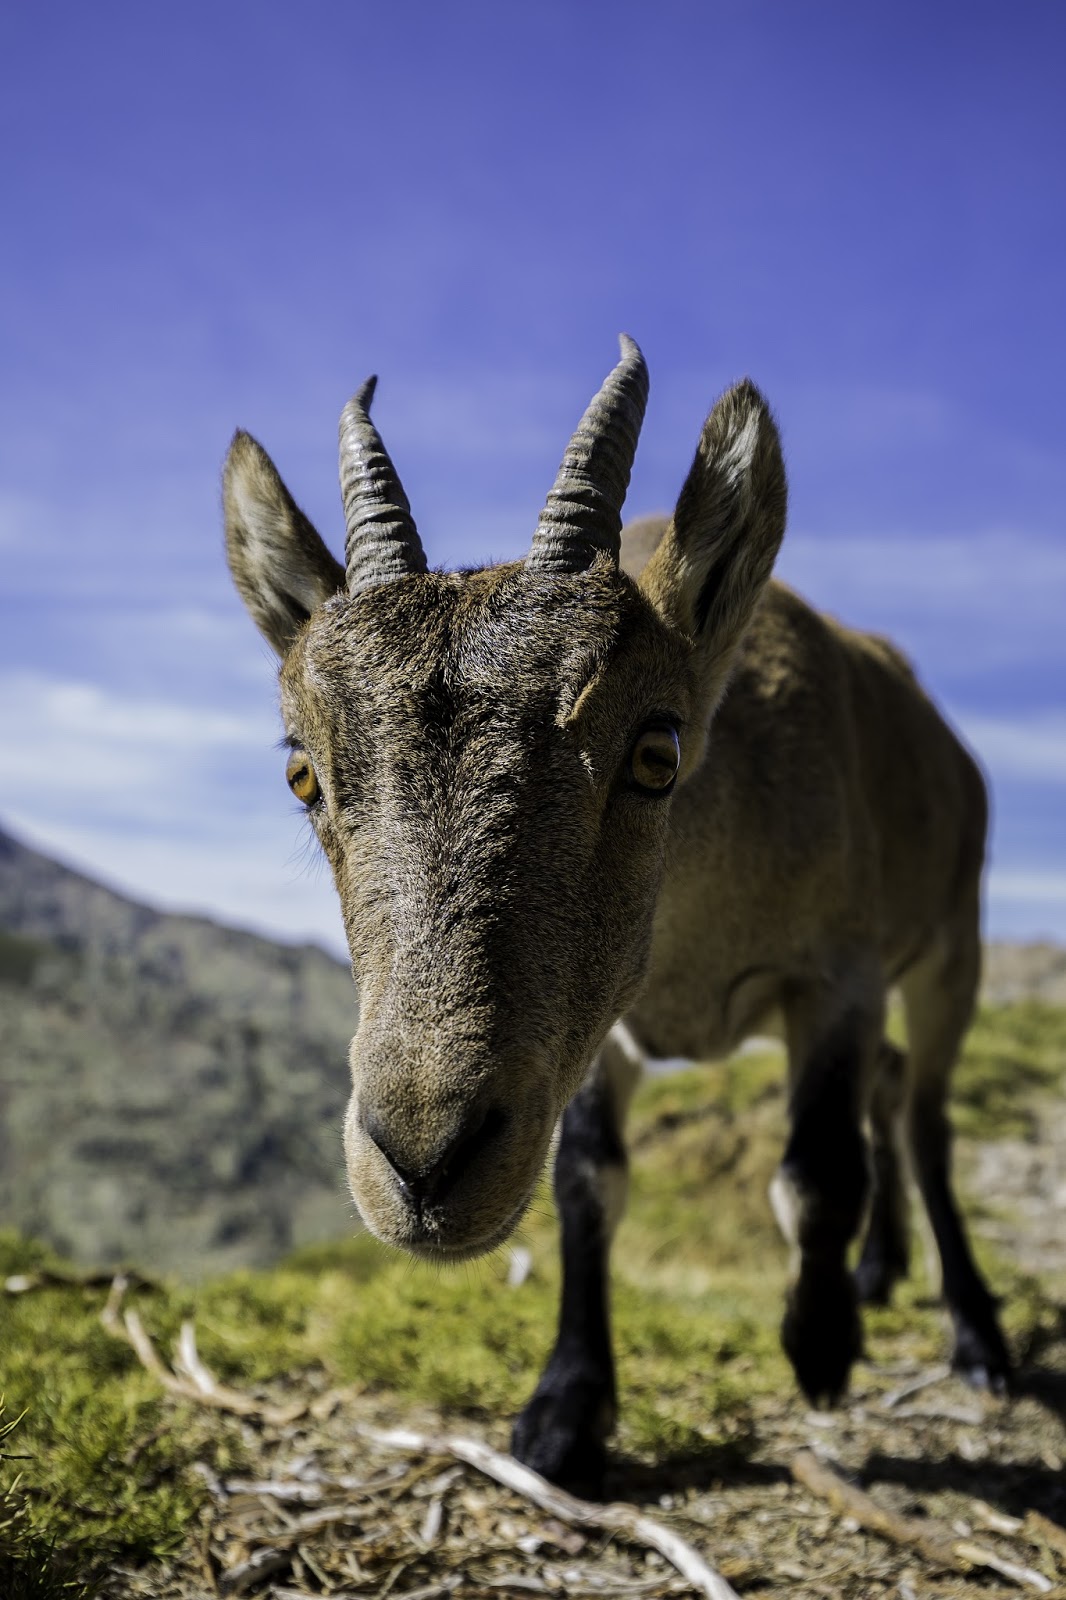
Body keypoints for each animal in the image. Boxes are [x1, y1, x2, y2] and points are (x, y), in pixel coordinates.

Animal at [223, 337, 1010, 1495]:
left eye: (657, 748)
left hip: (952, 947)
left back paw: (974, 1331)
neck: (690, 939)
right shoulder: (596, 1027)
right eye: (301, 771)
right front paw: (566, 1411)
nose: (423, 1163)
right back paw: (882, 1269)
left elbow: (816, 1172)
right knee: (899, 1086)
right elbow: (590, 1181)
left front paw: (818, 1348)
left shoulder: (839, 978)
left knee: (923, 1113)